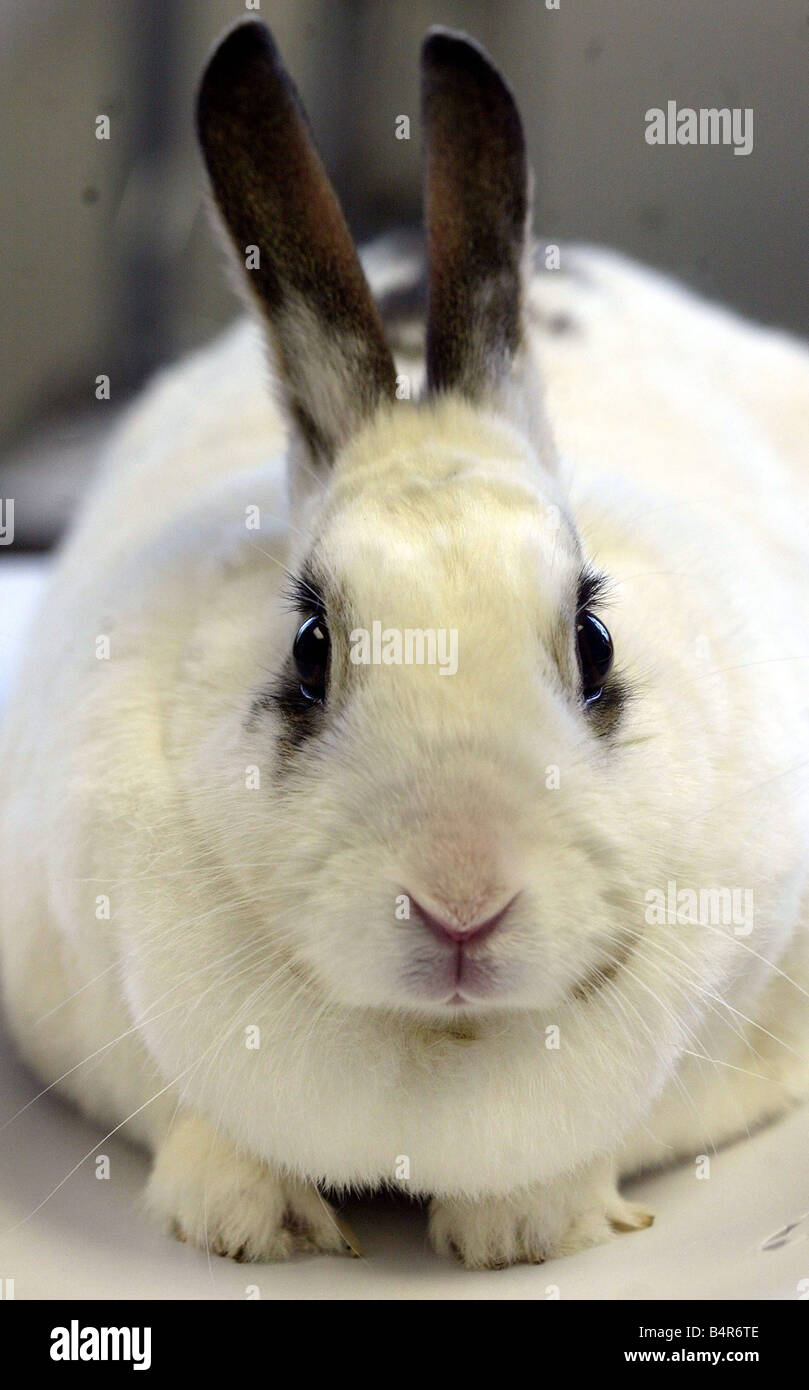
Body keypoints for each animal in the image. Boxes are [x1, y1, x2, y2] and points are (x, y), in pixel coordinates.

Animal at [1, 18, 808, 1271]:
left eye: (593, 641)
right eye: (308, 648)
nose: (460, 902)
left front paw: (526, 1225)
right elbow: (199, 1129)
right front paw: (250, 1220)